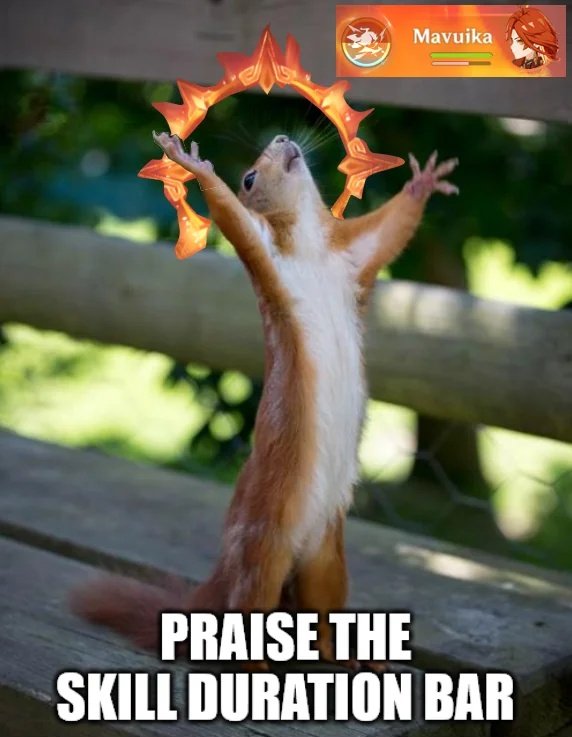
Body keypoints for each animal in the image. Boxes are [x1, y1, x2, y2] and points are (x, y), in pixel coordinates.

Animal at [71, 131, 458, 668]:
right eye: (250, 177)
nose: (282, 138)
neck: (313, 250)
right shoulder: (266, 255)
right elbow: (231, 216)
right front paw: (191, 163)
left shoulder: (354, 256)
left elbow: (391, 230)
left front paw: (423, 183)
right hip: (262, 549)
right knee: (249, 610)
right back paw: (260, 668)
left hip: (327, 559)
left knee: (322, 616)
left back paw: (351, 657)